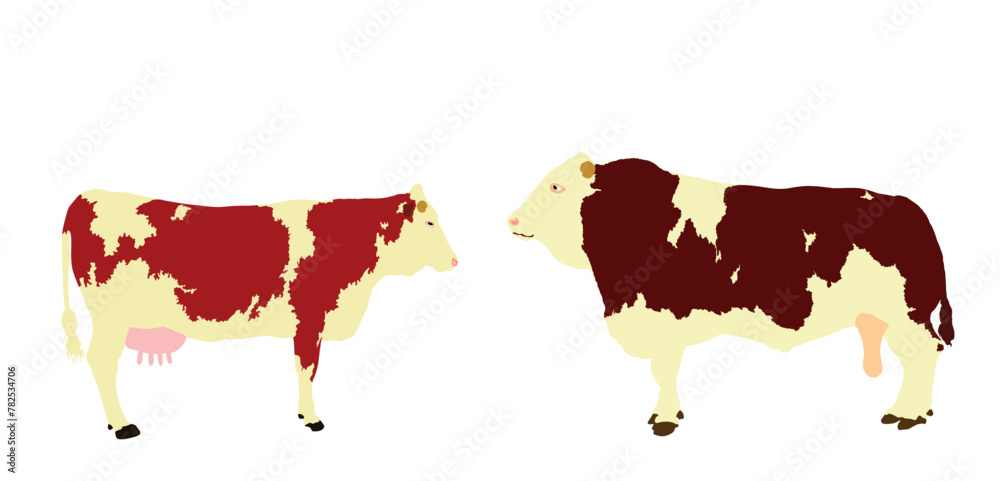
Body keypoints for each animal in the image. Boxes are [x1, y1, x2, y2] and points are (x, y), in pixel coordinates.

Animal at [61, 185, 457, 439]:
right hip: (110, 316)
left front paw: (302, 413)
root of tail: (87, 196)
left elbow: (302, 368)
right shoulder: (311, 319)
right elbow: (308, 368)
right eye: (429, 223)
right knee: (102, 361)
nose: (454, 260)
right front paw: (312, 418)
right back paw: (122, 425)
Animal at [508, 153, 953, 436]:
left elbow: (664, 370)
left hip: (907, 314)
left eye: (556, 186)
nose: (512, 219)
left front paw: (664, 420)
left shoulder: (665, 317)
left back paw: (907, 414)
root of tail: (909, 207)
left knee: (923, 354)